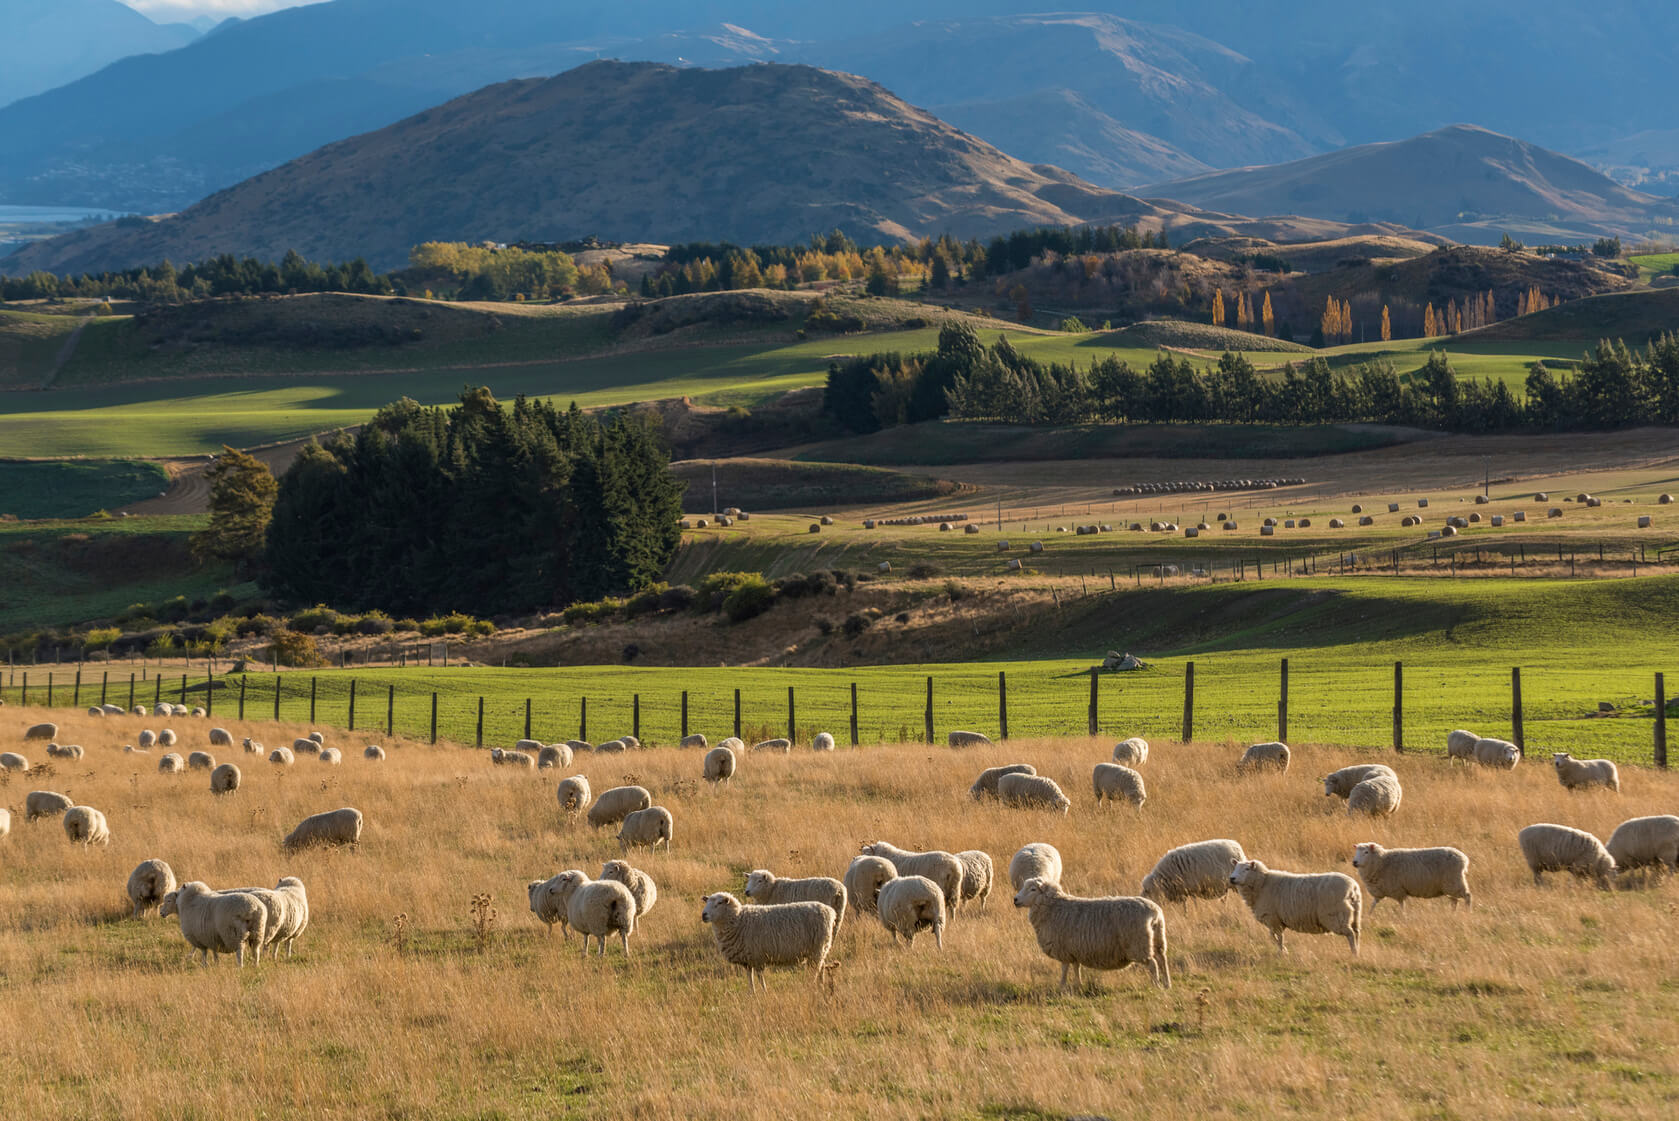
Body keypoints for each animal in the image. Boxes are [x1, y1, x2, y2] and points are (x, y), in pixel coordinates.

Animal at [701, 892, 837, 993]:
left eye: (719, 903)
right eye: (707, 902)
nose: (704, 915)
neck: (738, 919)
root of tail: (830, 911)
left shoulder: (757, 957)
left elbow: (760, 977)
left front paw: (764, 991)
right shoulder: (747, 960)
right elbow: (749, 977)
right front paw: (752, 993)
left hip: (817, 948)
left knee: (816, 970)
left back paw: (812, 986)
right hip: (821, 948)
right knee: (821, 967)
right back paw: (821, 986)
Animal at [1013, 877, 1170, 989]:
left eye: (1033, 889)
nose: (1015, 899)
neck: (1052, 907)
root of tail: (1155, 913)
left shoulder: (1063, 950)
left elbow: (1065, 969)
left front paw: (1061, 987)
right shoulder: (1073, 950)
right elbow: (1076, 968)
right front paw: (1078, 985)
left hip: (1139, 944)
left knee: (1153, 964)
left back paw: (1156, 985)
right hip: (1158, 940)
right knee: (1162, 960)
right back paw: (1167, 984)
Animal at [1229, 859, 1362, 954]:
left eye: (1246, 869)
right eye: (1235, 867)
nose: (1232, 878)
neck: (1262, 883)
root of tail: (1353, 888)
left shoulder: (1273, 918)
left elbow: (1277, 937)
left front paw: (1282, 952)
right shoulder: (1276, 920)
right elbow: (1274, 936)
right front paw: (1283, 950)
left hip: (1336, 916)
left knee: (1350, 934)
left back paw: (1354, 953)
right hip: (1355, 915)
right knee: (1356, 932)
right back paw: (1357, 951)